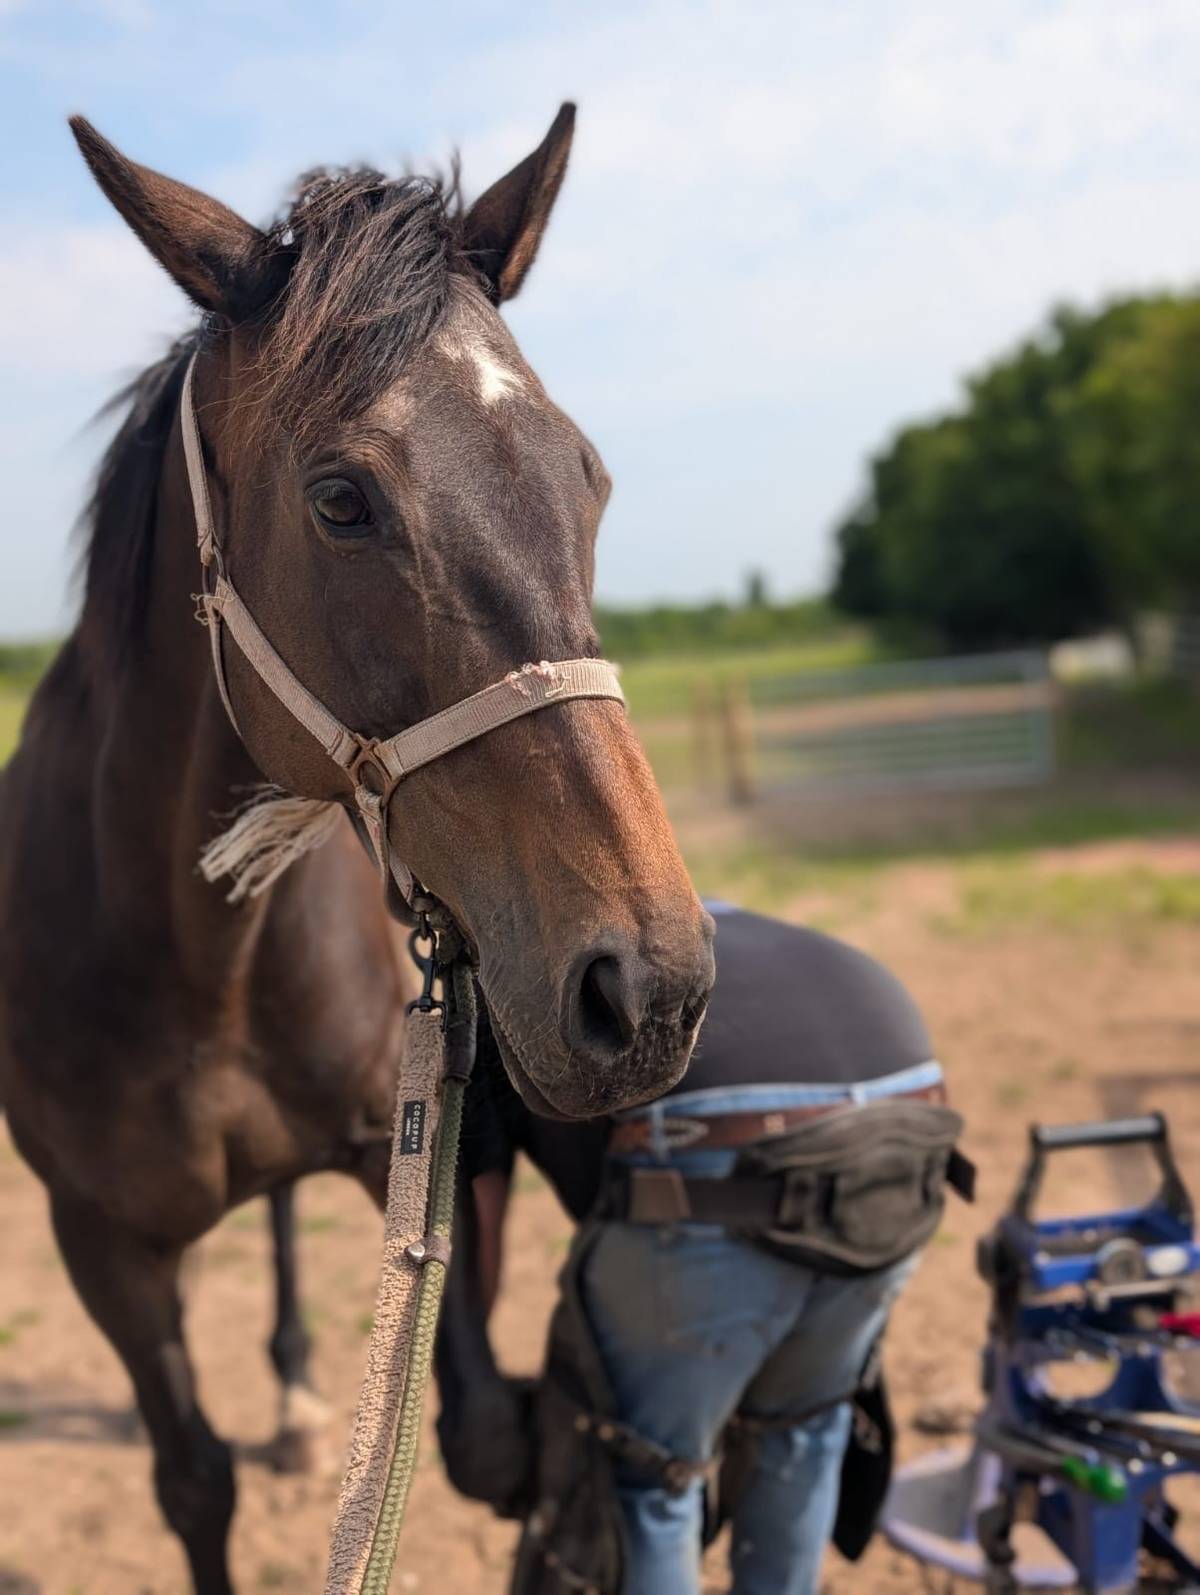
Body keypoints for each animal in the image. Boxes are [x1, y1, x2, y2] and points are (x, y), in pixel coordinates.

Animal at [0, 105, 714, 1594]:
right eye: (340, 499)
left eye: (587, 475)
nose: (649, 984)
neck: (183, 949)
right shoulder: (101, 1247)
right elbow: (192, 1481)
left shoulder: (427, 1145)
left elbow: (488, 1435)